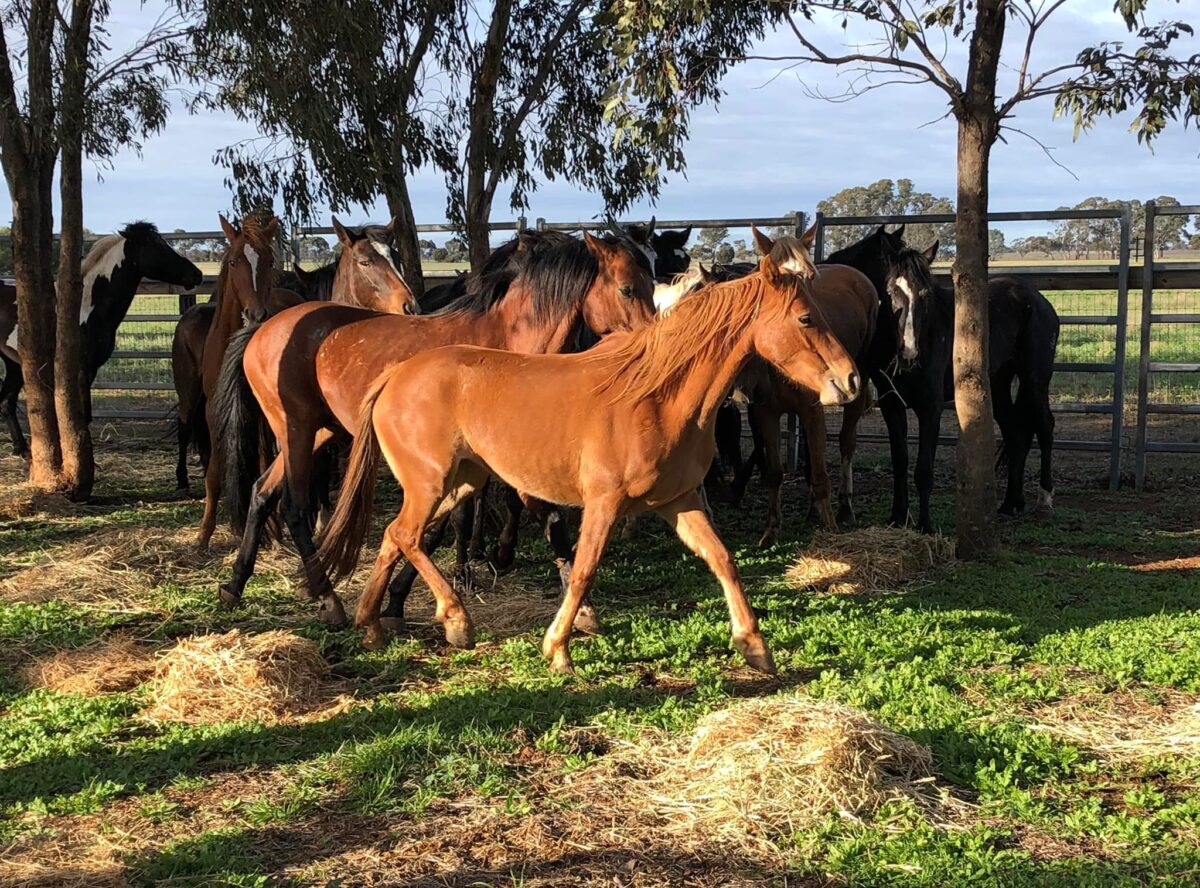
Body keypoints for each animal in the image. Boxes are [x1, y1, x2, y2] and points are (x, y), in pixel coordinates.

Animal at [0, 223, 202, 456]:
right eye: (158, 246)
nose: (197, 274)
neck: (87, 308)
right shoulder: (81, 370)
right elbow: (82, 417)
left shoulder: (92, 368)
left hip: (15, 364)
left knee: (6, 403)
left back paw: (22, 450)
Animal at [213, 231, 656, 625]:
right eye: (627, 289)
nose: (652, 349)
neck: (506, 345)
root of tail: (265, 327)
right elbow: (457, 525)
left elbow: (455, 525)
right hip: (296, 429)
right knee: (293, 504)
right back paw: (327, 598)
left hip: (319, 432)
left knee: (261, 492)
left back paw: (235, 586)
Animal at [315, 229, 861, 672]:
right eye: (806, 318)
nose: (851, 380)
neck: (656, 395)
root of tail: (395, 375)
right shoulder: (603, 503)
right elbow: (582, 570)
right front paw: (558, 648)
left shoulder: (679, 501)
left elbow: (721, 558)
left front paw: (754, 645)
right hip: (431, 484)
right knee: (407, 535)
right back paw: (455, 620)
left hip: (462, 483)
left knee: (393, 536)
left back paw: (373, 625)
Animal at [880, 241, 1059, 524]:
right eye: (891, 292)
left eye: (925, 295)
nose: (909, 352)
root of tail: (1037, 299)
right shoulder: (891, 405)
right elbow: (899, 462)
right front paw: (897, 518)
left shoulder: (930, 407)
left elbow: (923, 470)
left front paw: (925, 525)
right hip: (997, 385)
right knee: (1016, 434)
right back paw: (1010, 503)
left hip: (1035, 380)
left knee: (1045, 427)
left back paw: (1044, 500)